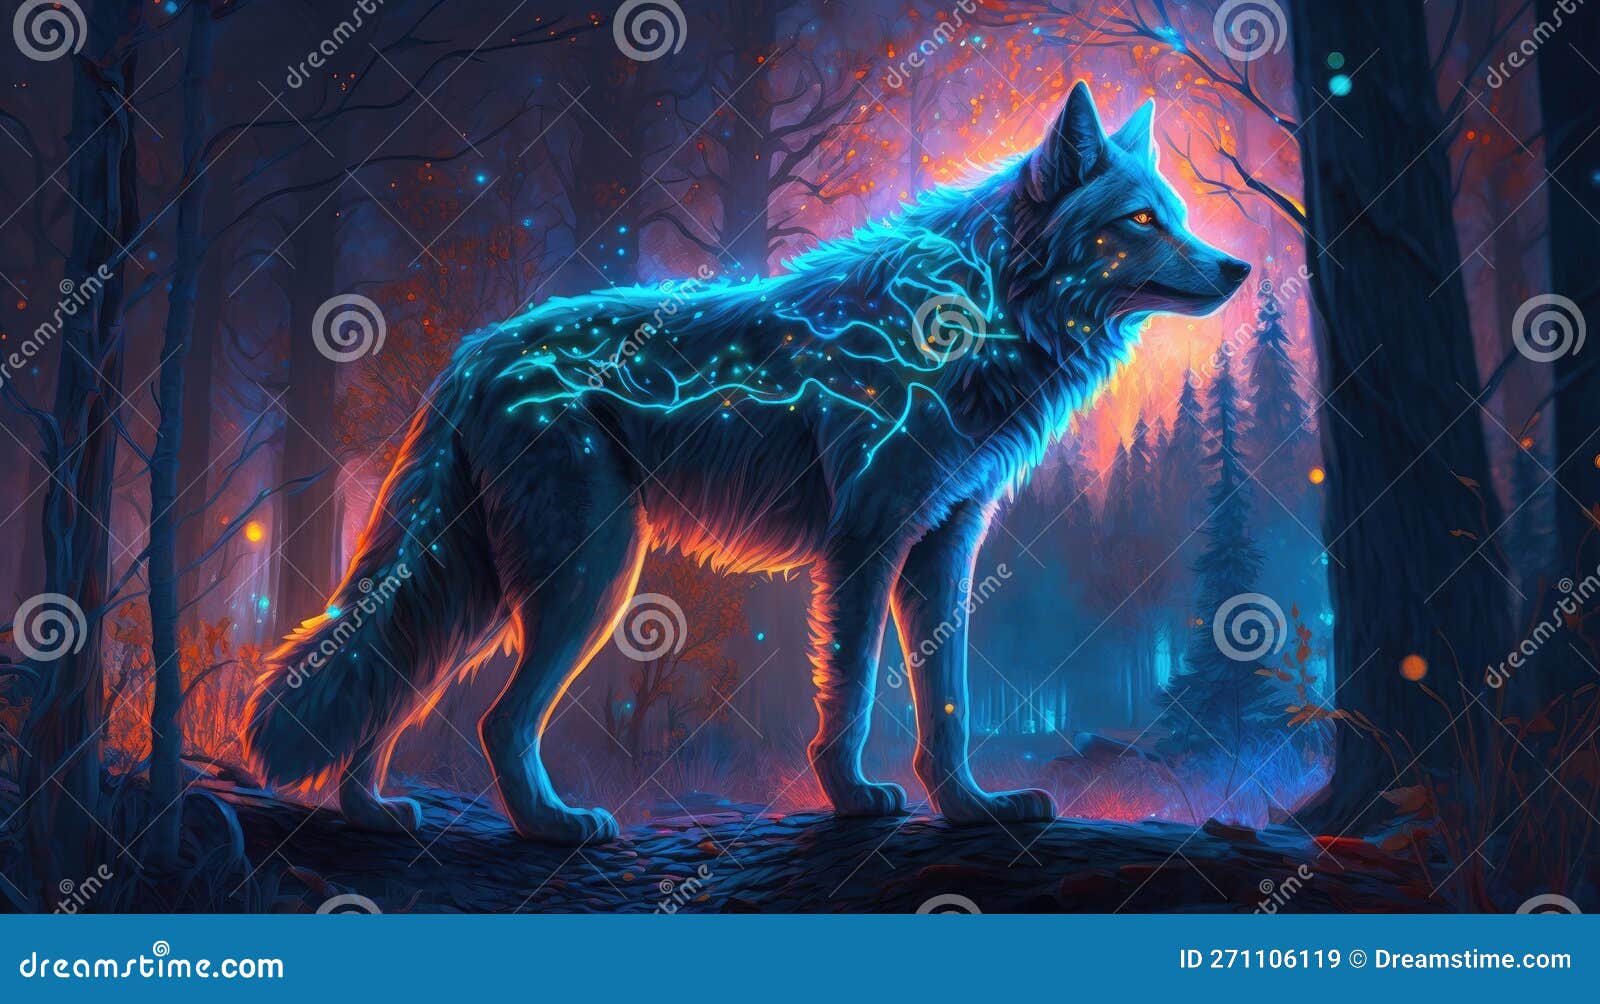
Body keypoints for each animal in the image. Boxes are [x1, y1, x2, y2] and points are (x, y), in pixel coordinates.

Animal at [243, 81, 1250, 844]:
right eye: (1143, 219)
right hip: (588, 580)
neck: (978, 312)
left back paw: (372, 813)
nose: (1238, 267)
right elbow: (850, 695)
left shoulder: (945, 547)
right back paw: (552, 827)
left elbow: (948, 703)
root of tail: (470, 353)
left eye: (1178, 217)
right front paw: (853, 799)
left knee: (398, 680)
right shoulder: (864, 543)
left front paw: (970, 809)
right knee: (495, 717)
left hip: (489, 590)